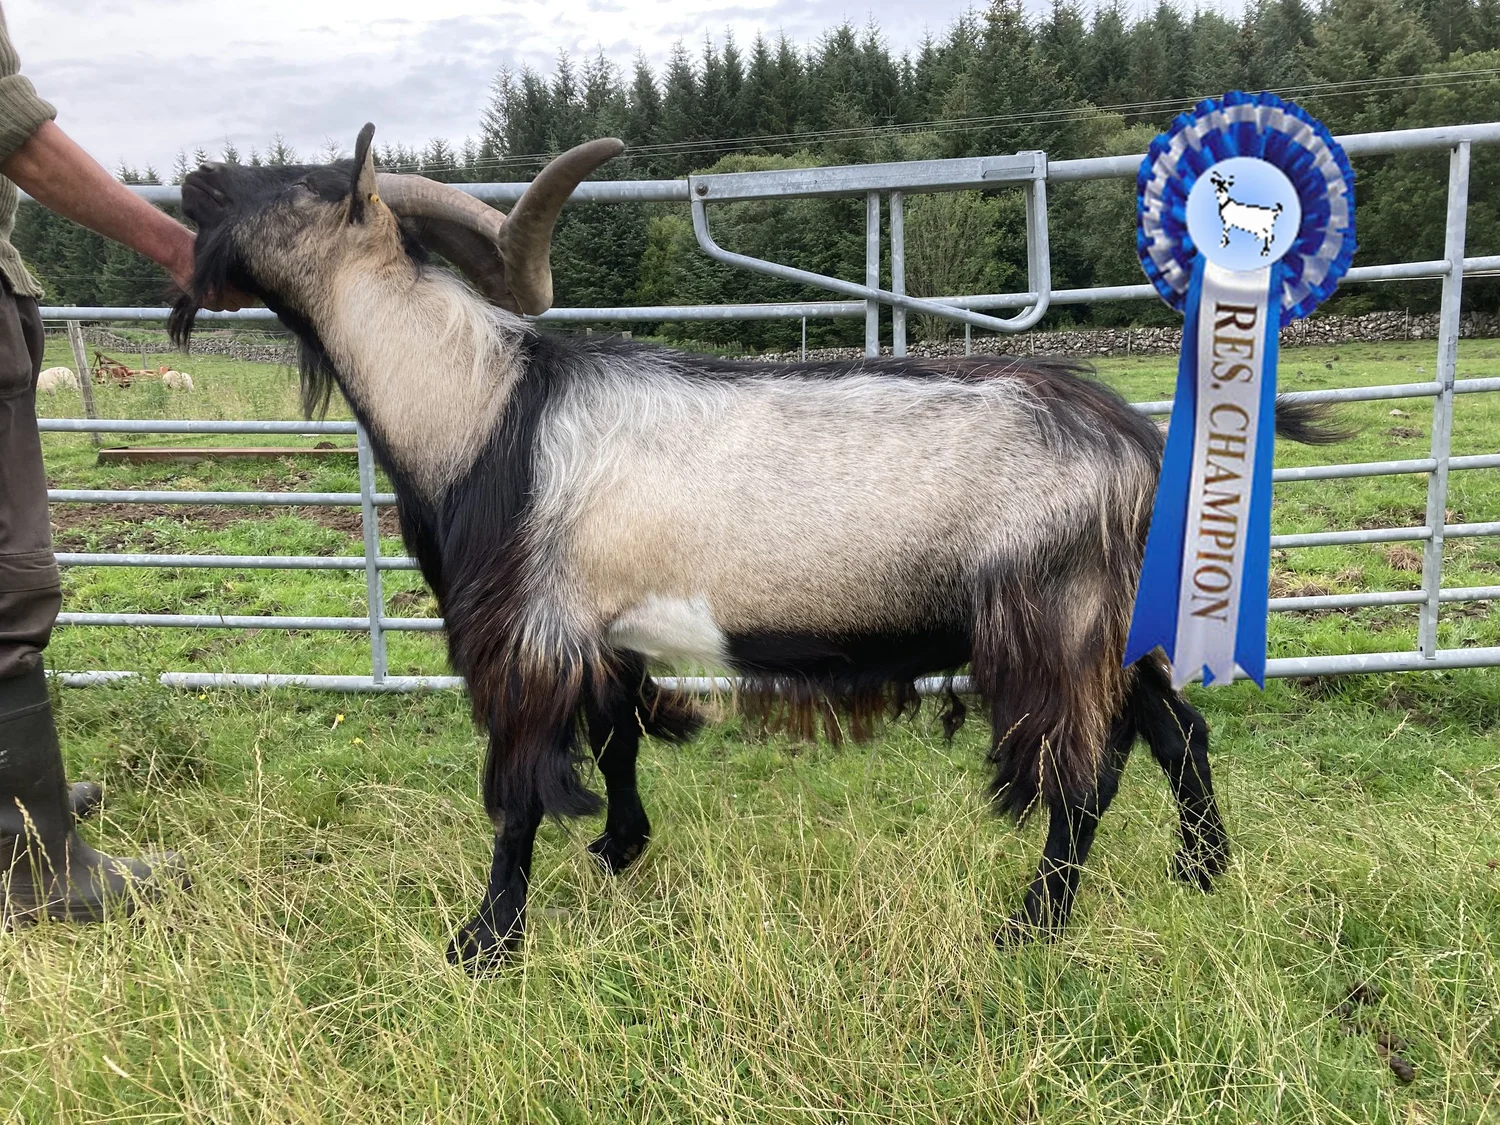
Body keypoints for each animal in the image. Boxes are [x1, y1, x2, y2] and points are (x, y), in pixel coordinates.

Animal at [171, 125, 1344, 972]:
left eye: (304, 180)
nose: (195, 176)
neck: (483, 409)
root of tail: (1140, 443)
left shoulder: (530, 633)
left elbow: (516, 796)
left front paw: (484, 945)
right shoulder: (606, 631)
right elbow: (617, 743)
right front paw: (619, 849)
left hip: (1058, 615)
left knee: (1086, 770)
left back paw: (1034, 923)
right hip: (1121, 620)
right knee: (1178, 732)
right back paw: (1202, 874)